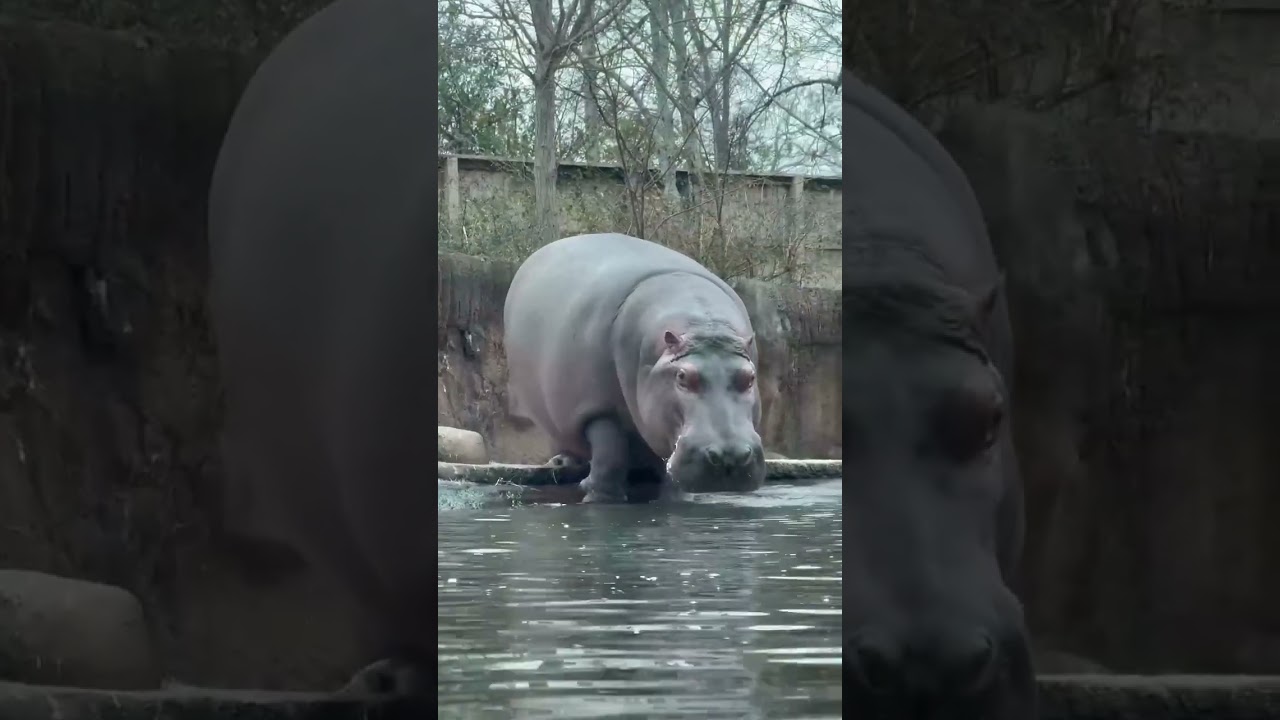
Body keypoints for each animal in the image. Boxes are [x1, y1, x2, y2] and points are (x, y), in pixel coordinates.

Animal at [503, 233, 766, 503]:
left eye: (750, 377)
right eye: (682, 376)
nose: (730, 456)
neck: (703, 327)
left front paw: (674, 500)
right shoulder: (597, 408)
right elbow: (610, 454)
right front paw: (599, 498)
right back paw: (562, 463)